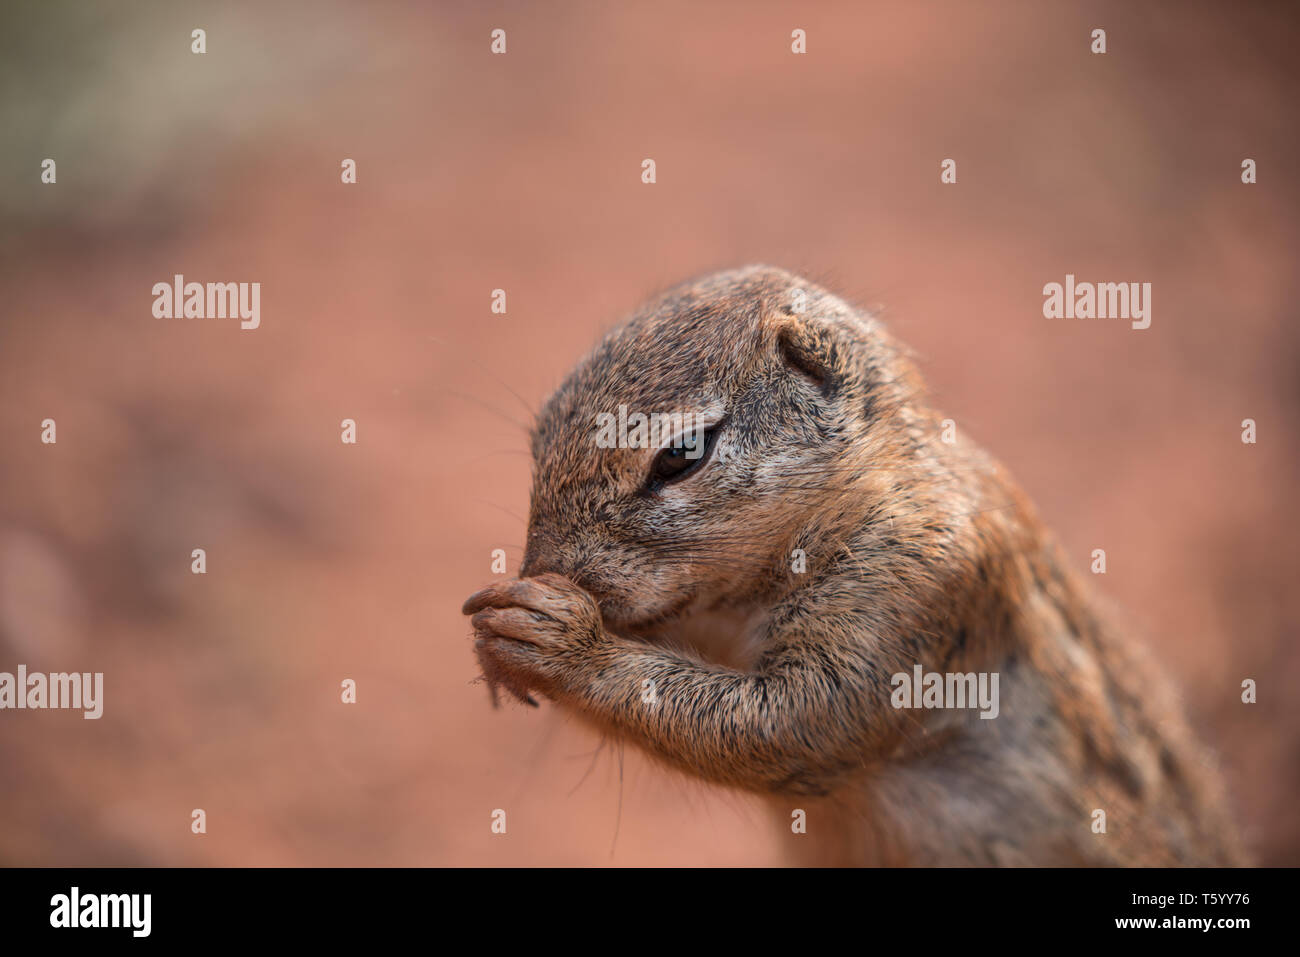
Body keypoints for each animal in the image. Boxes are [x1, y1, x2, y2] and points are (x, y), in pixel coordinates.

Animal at [463, 265, 1246, 866]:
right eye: (540, 433)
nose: (546, 567)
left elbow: (789, 723)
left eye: (683, 454)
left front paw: (557, 637)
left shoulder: (917, 584)